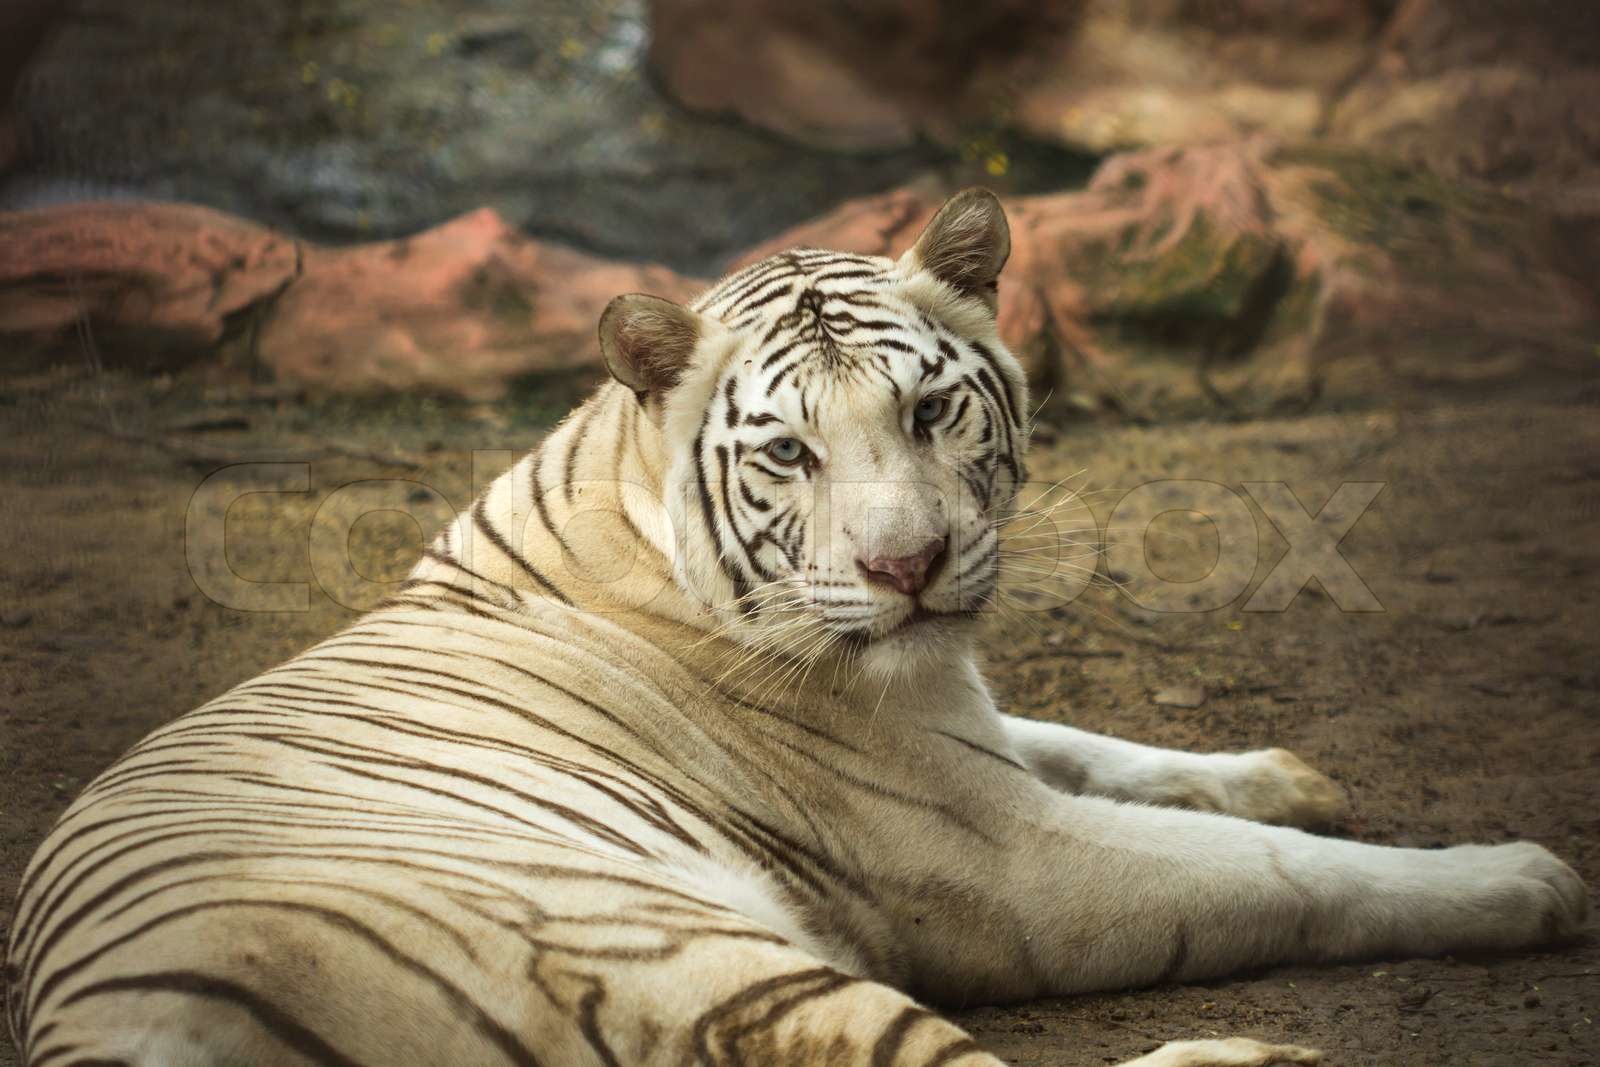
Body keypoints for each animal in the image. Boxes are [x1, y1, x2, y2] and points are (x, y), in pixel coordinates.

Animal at [4, 189, 1589, 1067]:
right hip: (706, 955)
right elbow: (1291, 874)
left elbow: (1101, 740)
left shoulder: (973, 729)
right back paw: (1265, 1056)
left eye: (932, 410)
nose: (909, 566)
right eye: (788, 452)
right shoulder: (1015, 859)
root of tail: (91, 1022)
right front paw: (1519, 876)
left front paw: (1284, 769)